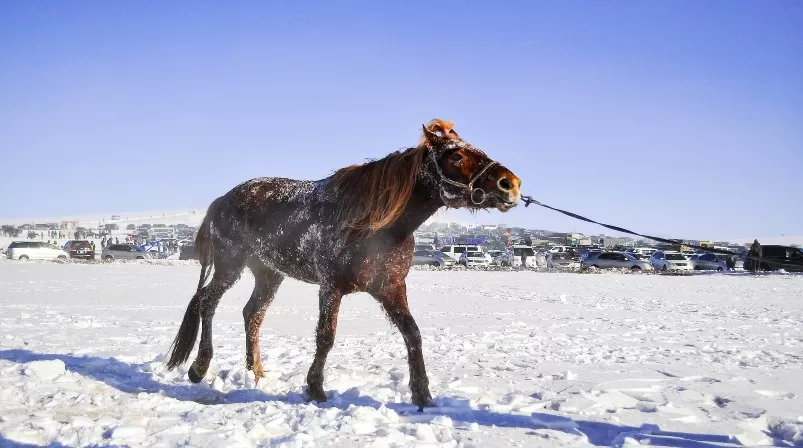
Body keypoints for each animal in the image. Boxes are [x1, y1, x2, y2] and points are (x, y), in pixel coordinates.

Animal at [166, 119, 524, 410]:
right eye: (457, 156)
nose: (510, 184)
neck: (378, 224)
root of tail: (222, 201)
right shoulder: (331, 287)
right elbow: (326, 336)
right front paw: (315, 388)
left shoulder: (391, 288)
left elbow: (413, 334)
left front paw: (422, 394)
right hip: (231, 265)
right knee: (207, 303)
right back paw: (199, 367)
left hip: (269, 274)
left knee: (252, 314)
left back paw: (257, 373)